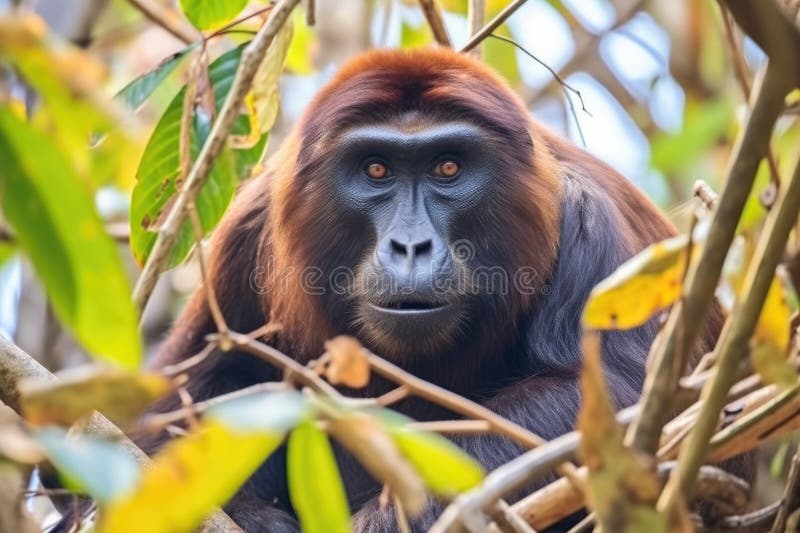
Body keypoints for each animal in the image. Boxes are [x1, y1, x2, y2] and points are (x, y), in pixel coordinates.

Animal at [139, 47, 745, 532]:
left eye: (448, 167)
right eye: (376, 170)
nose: (411, 246)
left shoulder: (596, 225)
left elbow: (621, 406)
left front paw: (393, 517)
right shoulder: (248, 228)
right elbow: (169, 414)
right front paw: (246, 511)